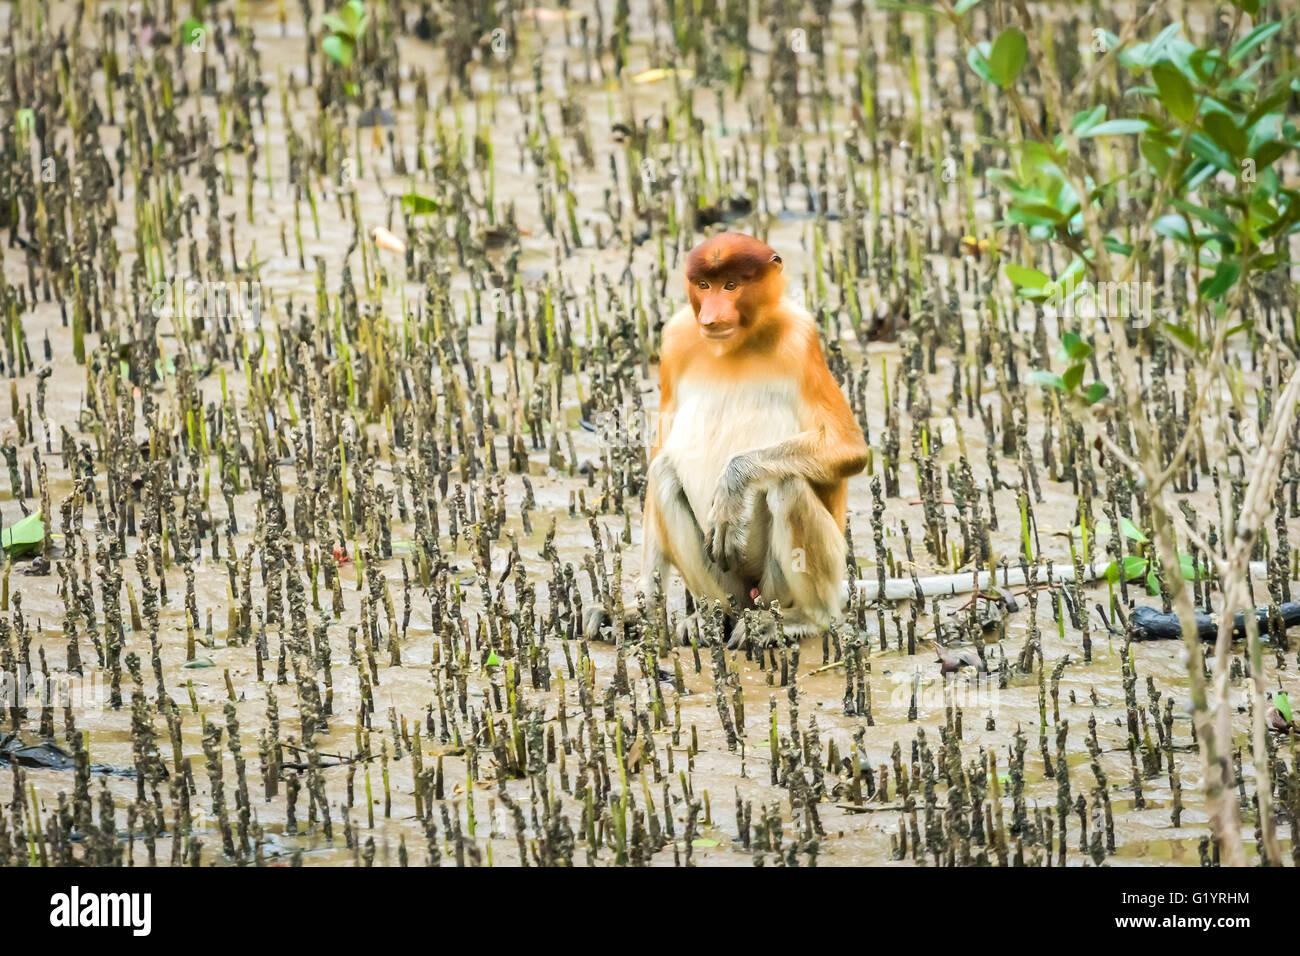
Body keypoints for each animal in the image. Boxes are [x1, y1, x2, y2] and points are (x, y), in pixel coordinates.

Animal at [586, 232, 869, 647]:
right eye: (705, 285)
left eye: (732, 285)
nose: (711, 317)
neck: (737, 344)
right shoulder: (675, 338)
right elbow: (658, 453)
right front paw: (643, 612)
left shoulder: (803, 339)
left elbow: (848, 446)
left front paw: (733, 485)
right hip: (728, 582)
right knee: (664, 474)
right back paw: (710, 619)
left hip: (795, 580)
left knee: (787, 485)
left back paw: (799, 619)